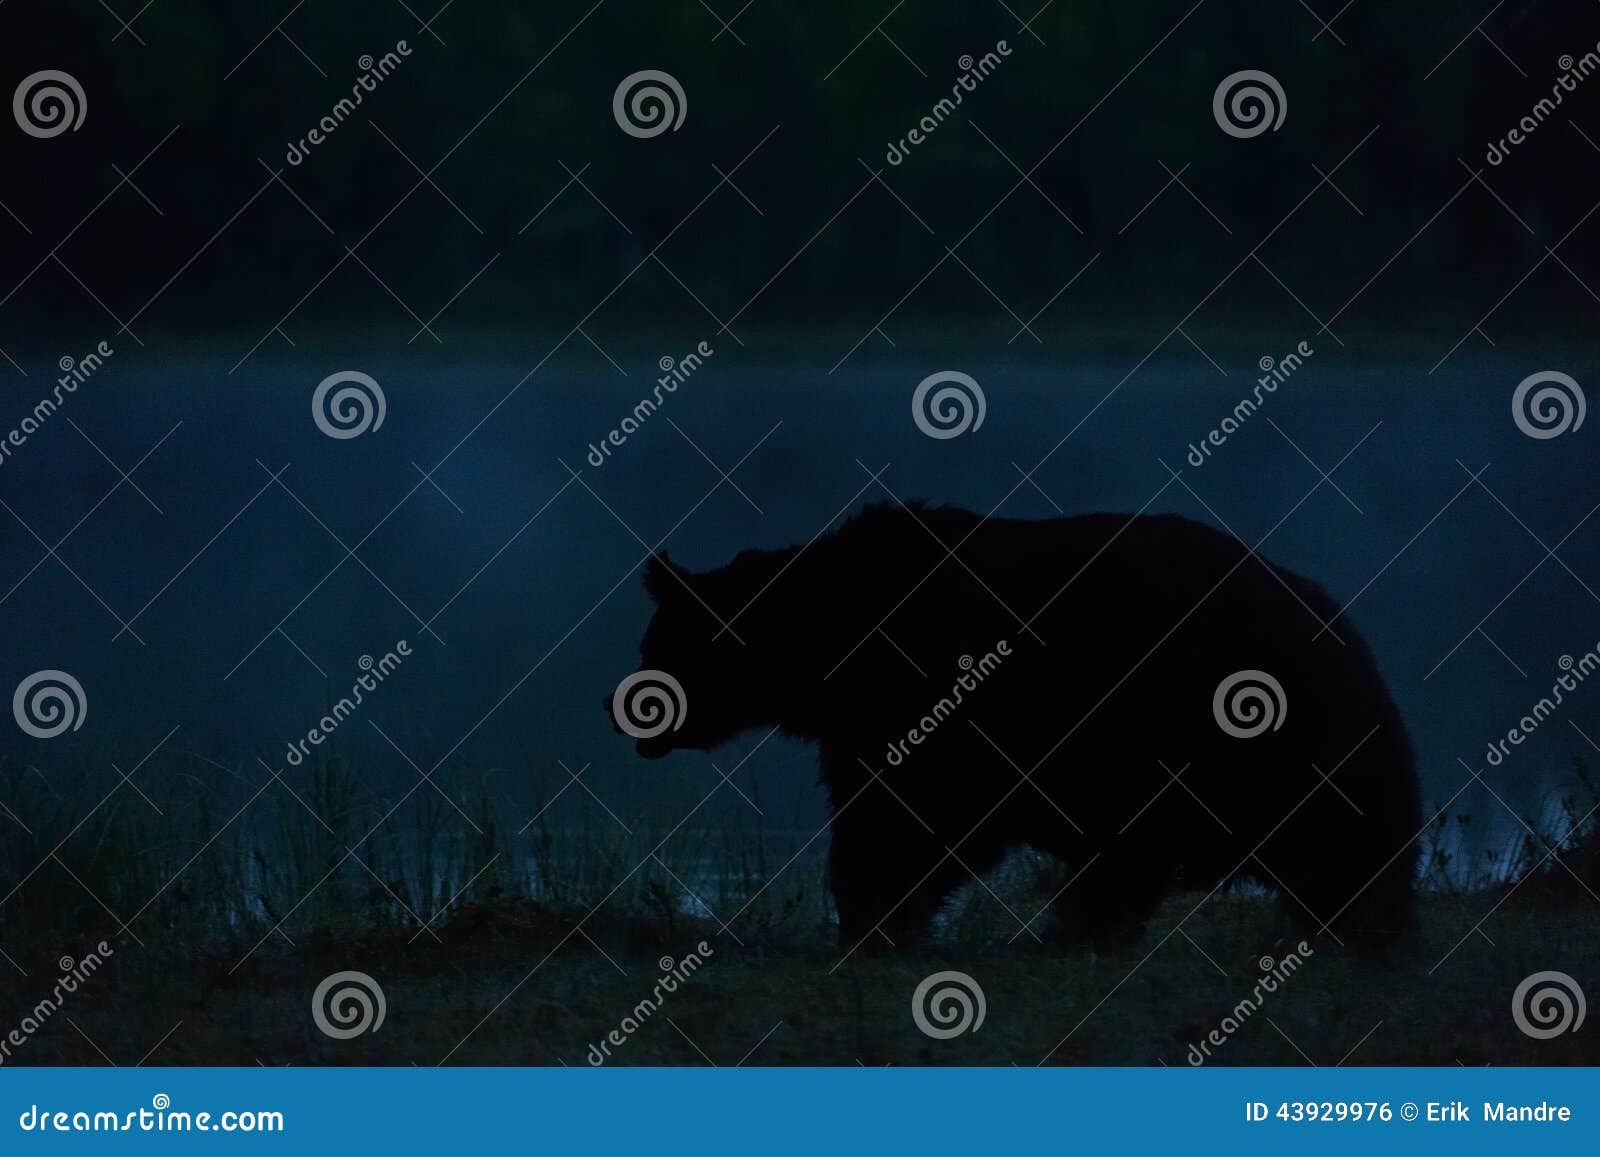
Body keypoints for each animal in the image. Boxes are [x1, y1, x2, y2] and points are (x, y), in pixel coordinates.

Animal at [615, 502, 1421, 954]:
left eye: (651, 647)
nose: (617, 704)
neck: (823, 640)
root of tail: (1350, 633)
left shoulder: (925, 693)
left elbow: (903, 818)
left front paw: (869, 921)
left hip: (1248, 730)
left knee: (1335, 840)